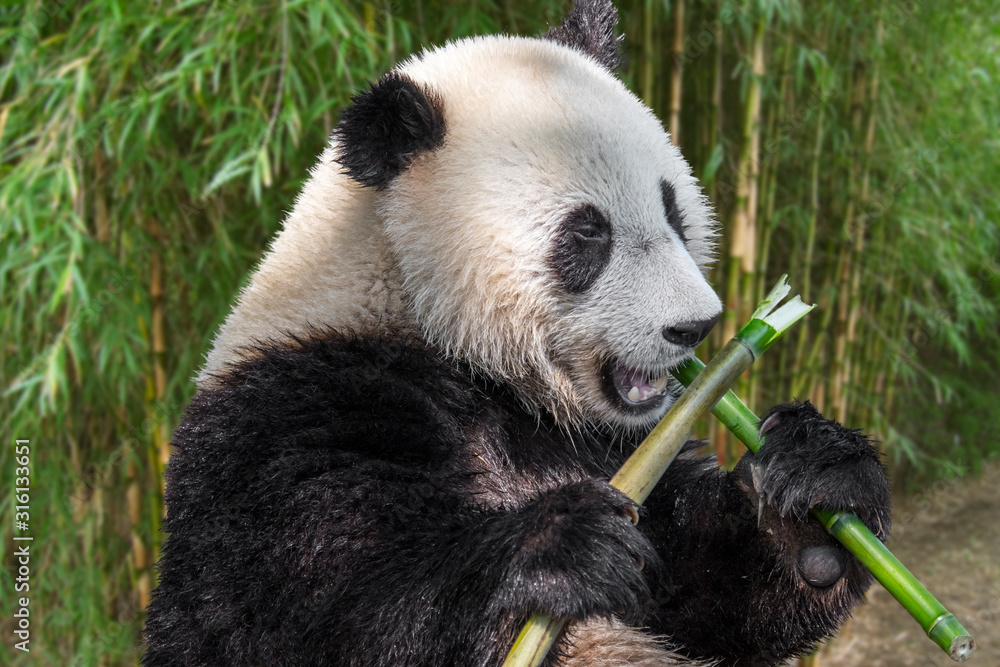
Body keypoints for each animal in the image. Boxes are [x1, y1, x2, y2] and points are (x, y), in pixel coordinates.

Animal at [142, 1, 891, 665]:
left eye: (675, 212)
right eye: (587, 235)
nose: (695, 325)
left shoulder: (609, 445)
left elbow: (707, 591)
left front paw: (815, 488)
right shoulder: (293, 412)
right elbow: (317, 610)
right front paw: (563, 546)